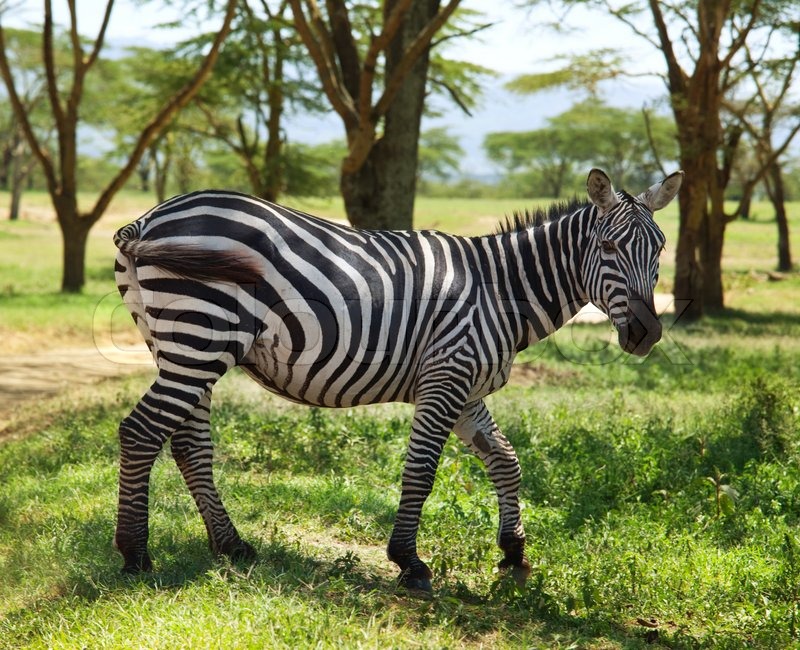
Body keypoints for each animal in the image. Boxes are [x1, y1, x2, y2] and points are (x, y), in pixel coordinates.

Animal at [112, 168, 683, 592]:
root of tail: (146, 220)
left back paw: (230, 546)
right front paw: (409, 561)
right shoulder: (446, 376)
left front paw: (513, 552)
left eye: (659, 250)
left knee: (189, 445)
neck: (499, 289)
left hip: (183, 347)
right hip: (199, 336)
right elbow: (422, 471)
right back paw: (135, 554)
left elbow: (506, 460)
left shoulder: (465, 386)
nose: (646, 333)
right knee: (141, 433)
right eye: (609, 248)